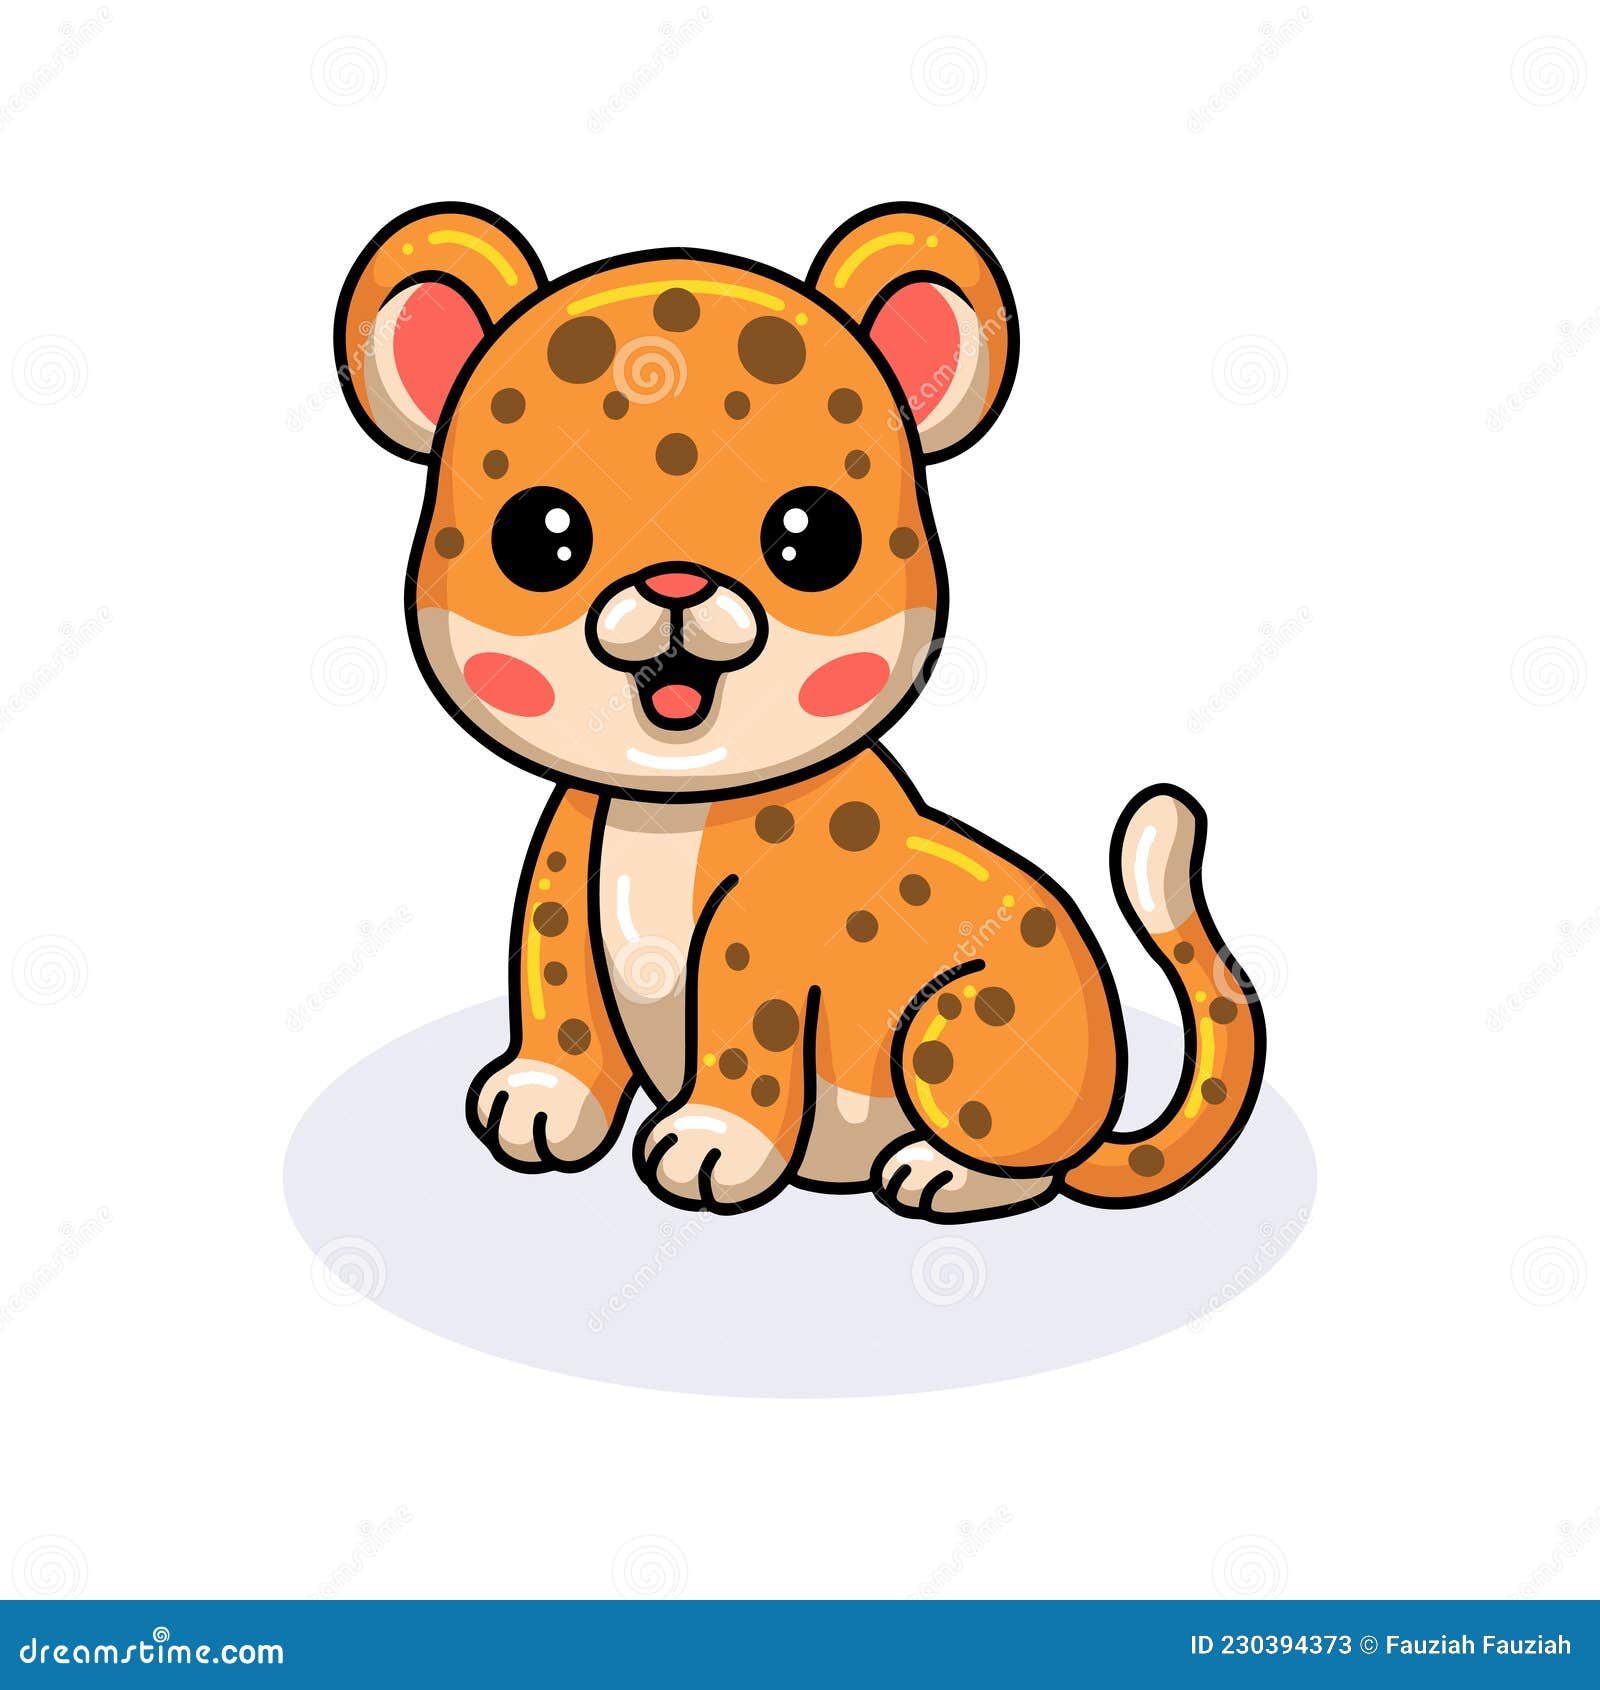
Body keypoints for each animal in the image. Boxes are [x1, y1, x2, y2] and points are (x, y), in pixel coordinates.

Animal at [333, 199, 1266, 1222]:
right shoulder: (564, 865)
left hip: (957, 1024)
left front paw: (713, 1145)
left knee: (1025, 1158)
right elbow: (560, 982)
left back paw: (940, 1172)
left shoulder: (774, 930)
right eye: (540, 538)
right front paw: (544, 1100)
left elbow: (746, 1027)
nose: (675, 583)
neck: (672, 809)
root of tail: (1103, 1121)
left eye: (812, 538)